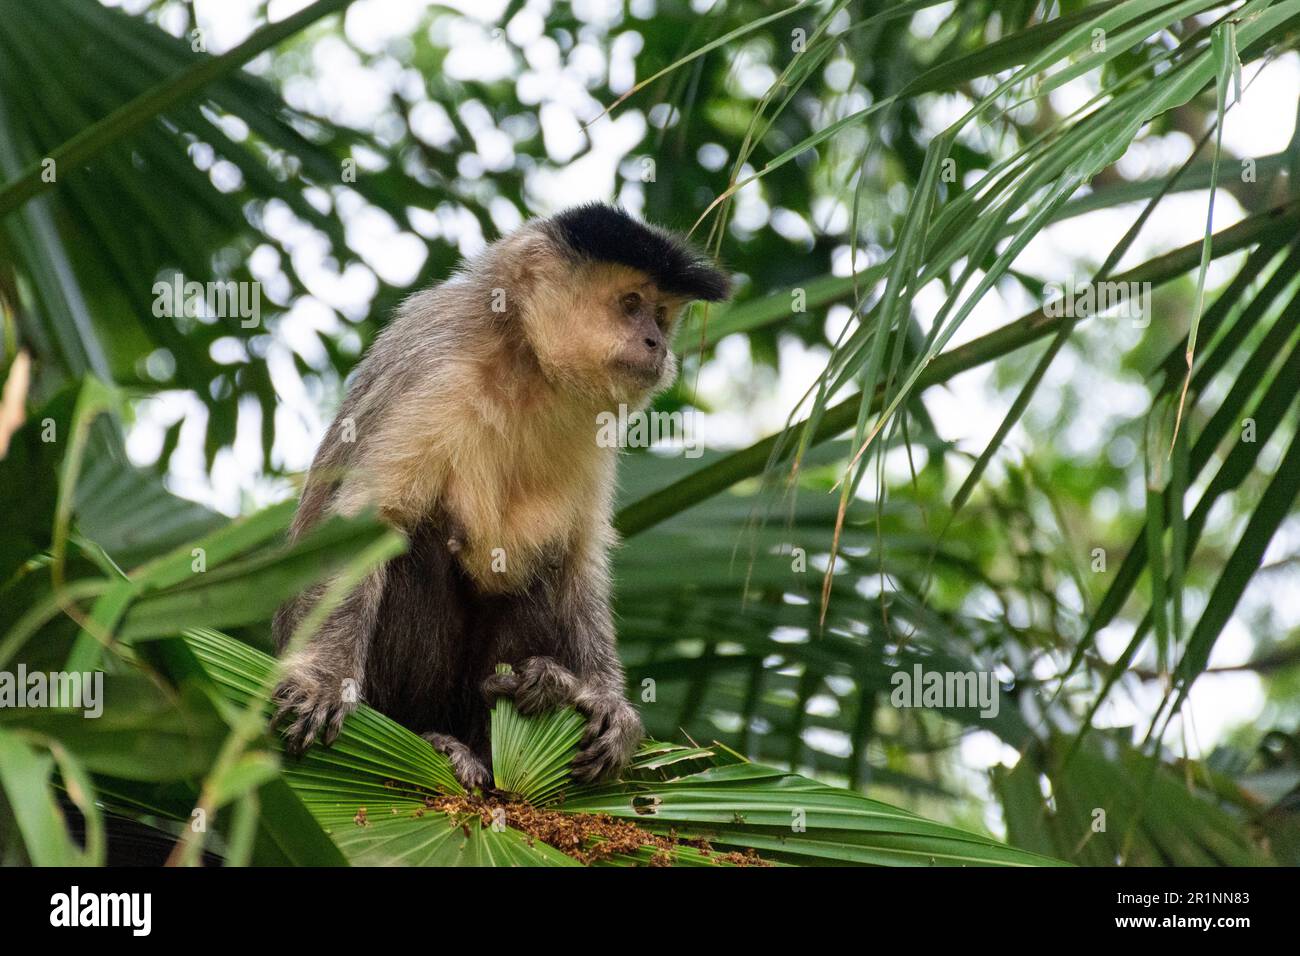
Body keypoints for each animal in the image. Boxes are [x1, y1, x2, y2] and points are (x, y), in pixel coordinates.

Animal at [270, 203, 730, 788]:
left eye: (662, 315)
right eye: (631, 305)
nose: (657, 344)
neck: (524, 361)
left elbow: (580, 559)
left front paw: (607, 701)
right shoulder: (441, 373)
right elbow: (368, 524)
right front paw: (325, 680)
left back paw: (537, 698)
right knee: (420, 538)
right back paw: (437, 740)